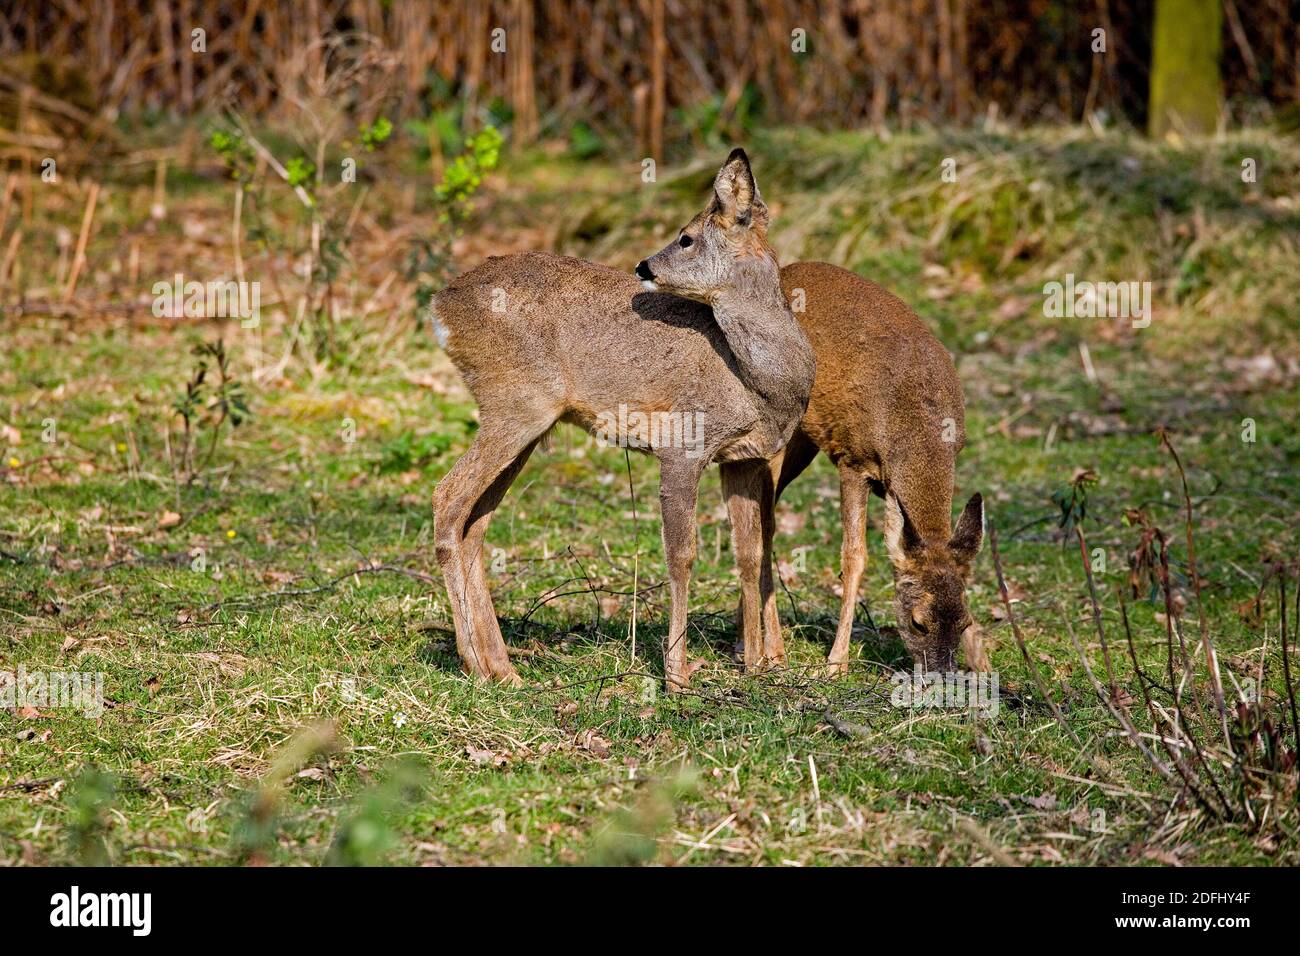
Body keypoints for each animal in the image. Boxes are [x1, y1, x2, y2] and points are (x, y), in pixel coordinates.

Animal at [430, 149, 815, 691]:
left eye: (685, 237)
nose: (643, 265)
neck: (757, 381)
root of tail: (440, 307)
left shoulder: (742, 457)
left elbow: (750, 551)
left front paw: (757, 663)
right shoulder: (683, 443)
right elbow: (682, 554)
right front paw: (677, 673)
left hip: (525, 420)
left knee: (475, 522)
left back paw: (502, 667)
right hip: (516, 403)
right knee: (448, 497)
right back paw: (473, 664)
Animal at [736, 261, 987, 676]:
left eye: (965, 621)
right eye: (918, 622)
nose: (942, 675)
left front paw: (981, 663)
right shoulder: (854, 461)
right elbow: (854, 558)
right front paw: (836, 662)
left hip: (803, 441)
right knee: (764, 524)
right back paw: (771, 650)